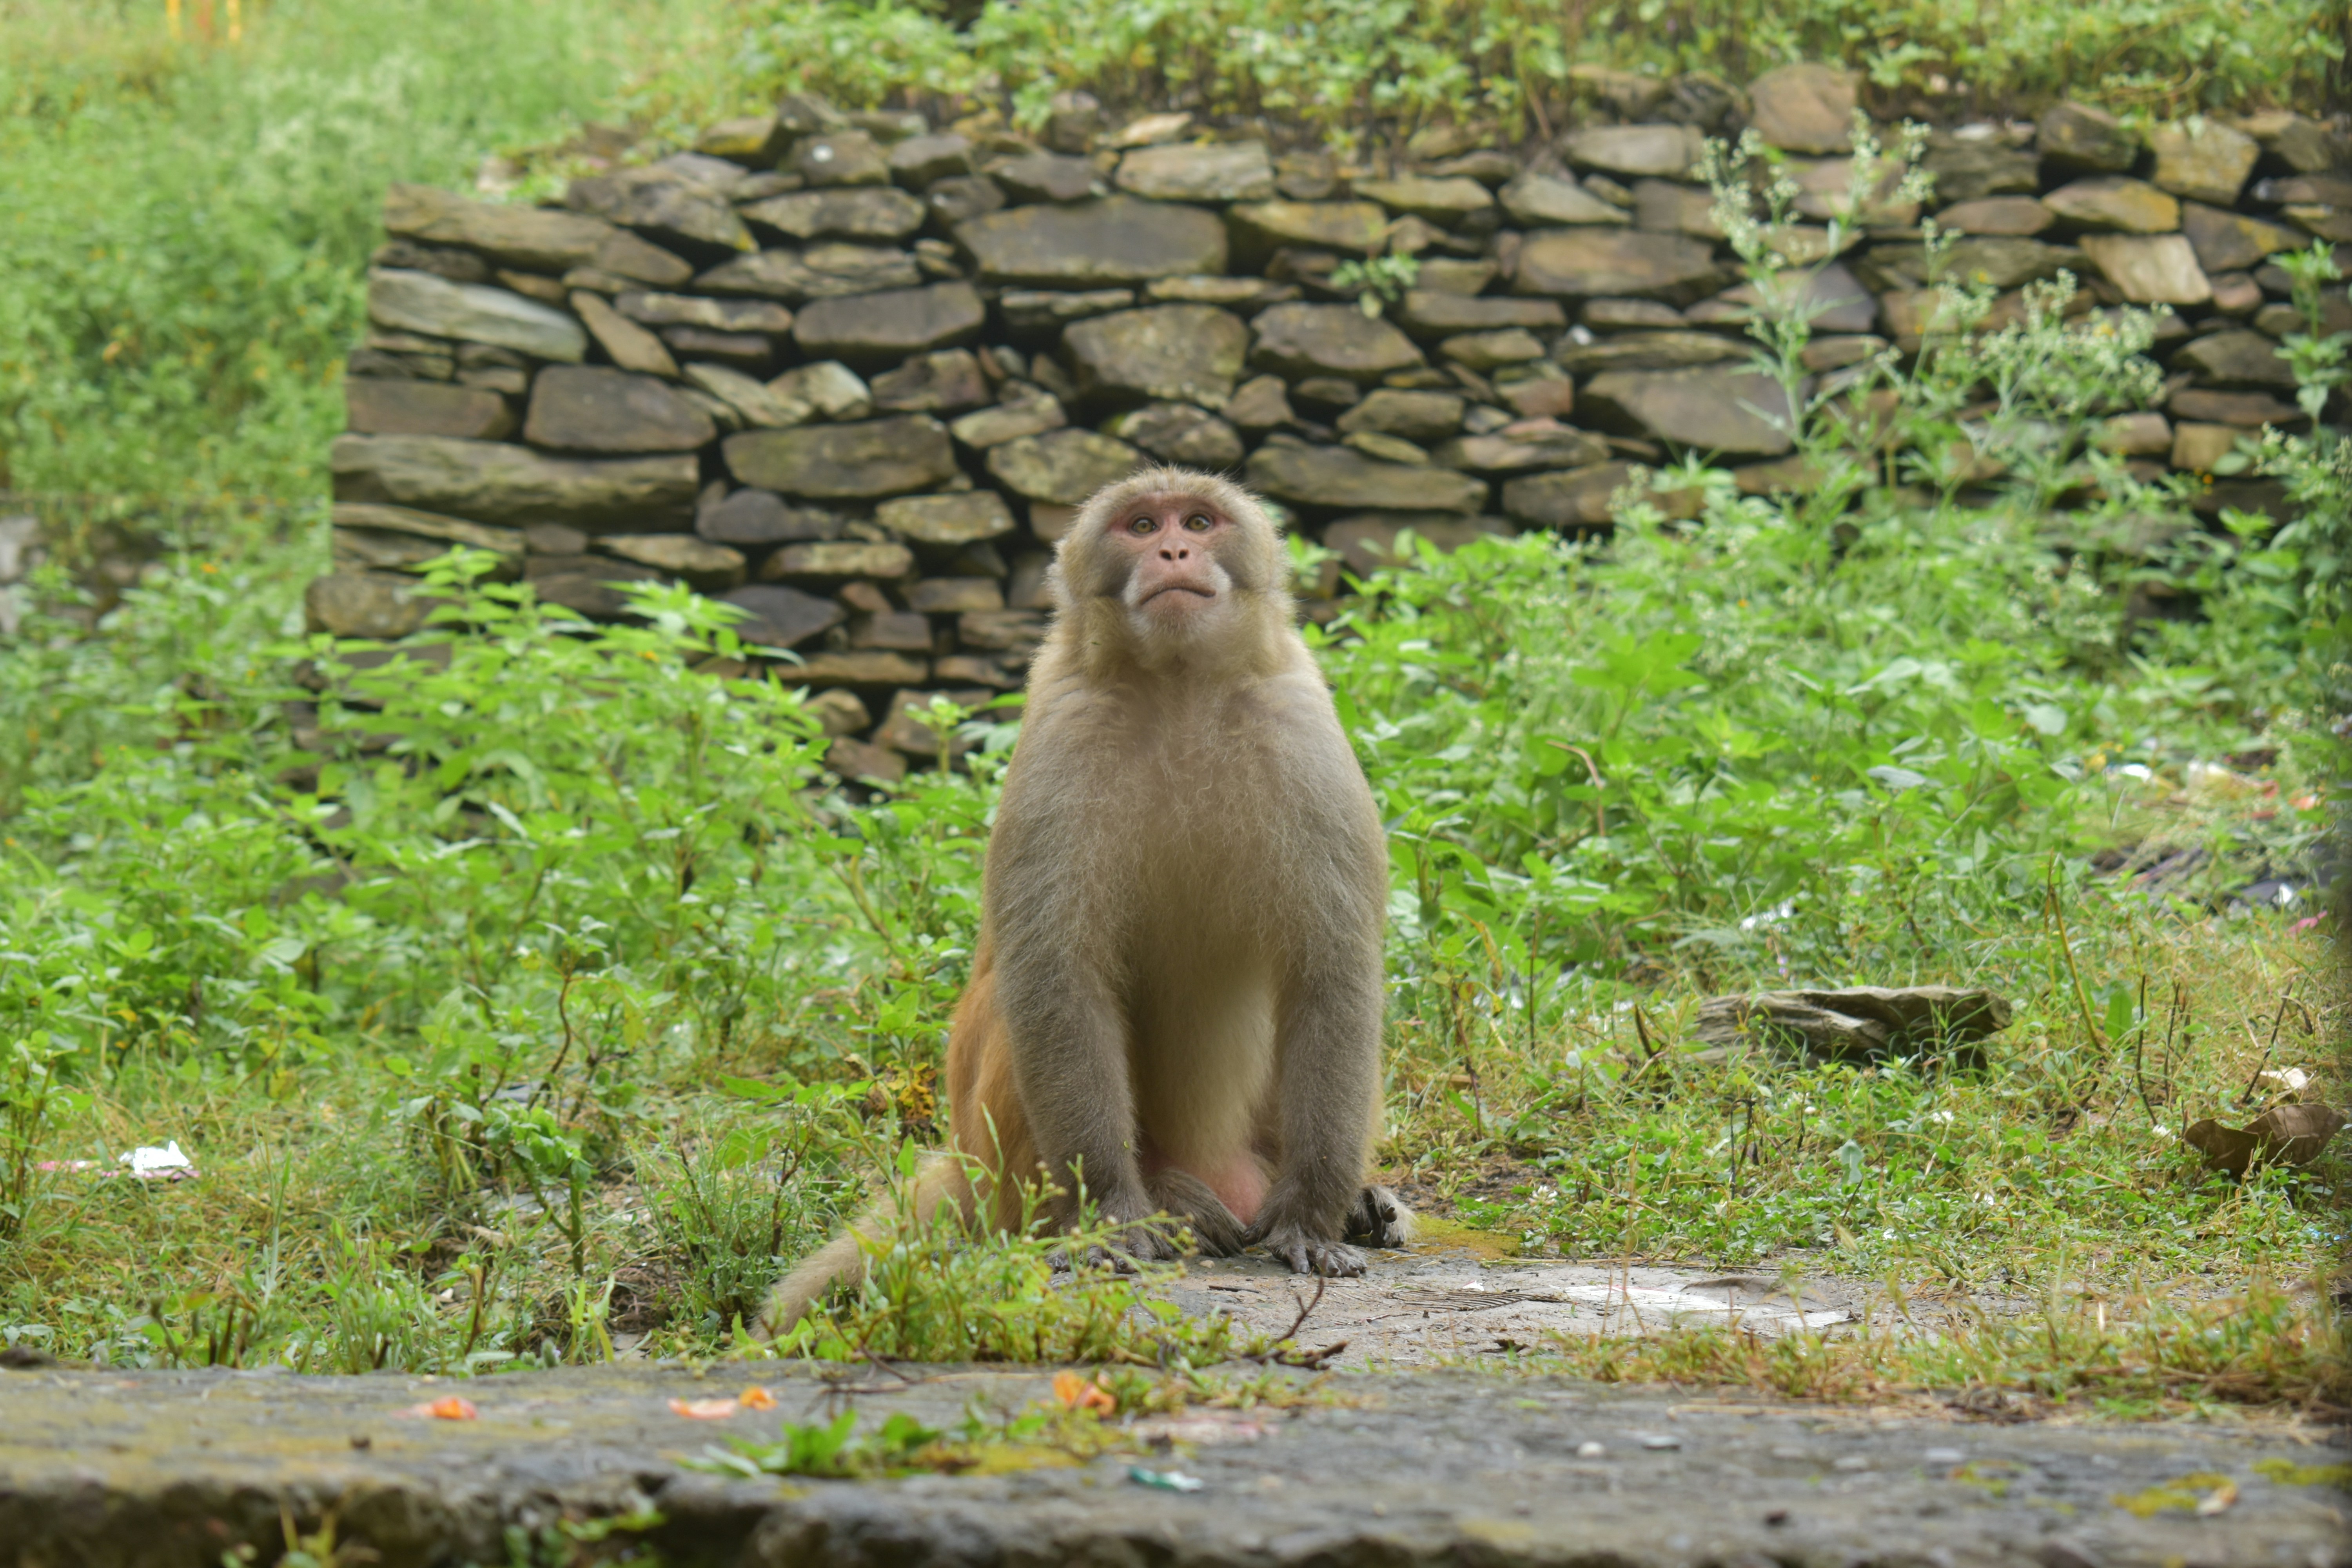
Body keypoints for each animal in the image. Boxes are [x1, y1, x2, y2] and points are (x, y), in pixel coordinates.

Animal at [762, 466, 1409, 1334]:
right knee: (1021, 1012)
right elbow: (1059, 980)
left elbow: (1330, 976)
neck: (1182, 686)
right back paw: (1159, 1200)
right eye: (1140, 526)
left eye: (1198, 522)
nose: (1173, 551)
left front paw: (1310, 1218)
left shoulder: (1306, 735)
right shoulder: (1062, 741)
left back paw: (1356, 1203)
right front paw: (1114, 1215)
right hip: (994, 1158)